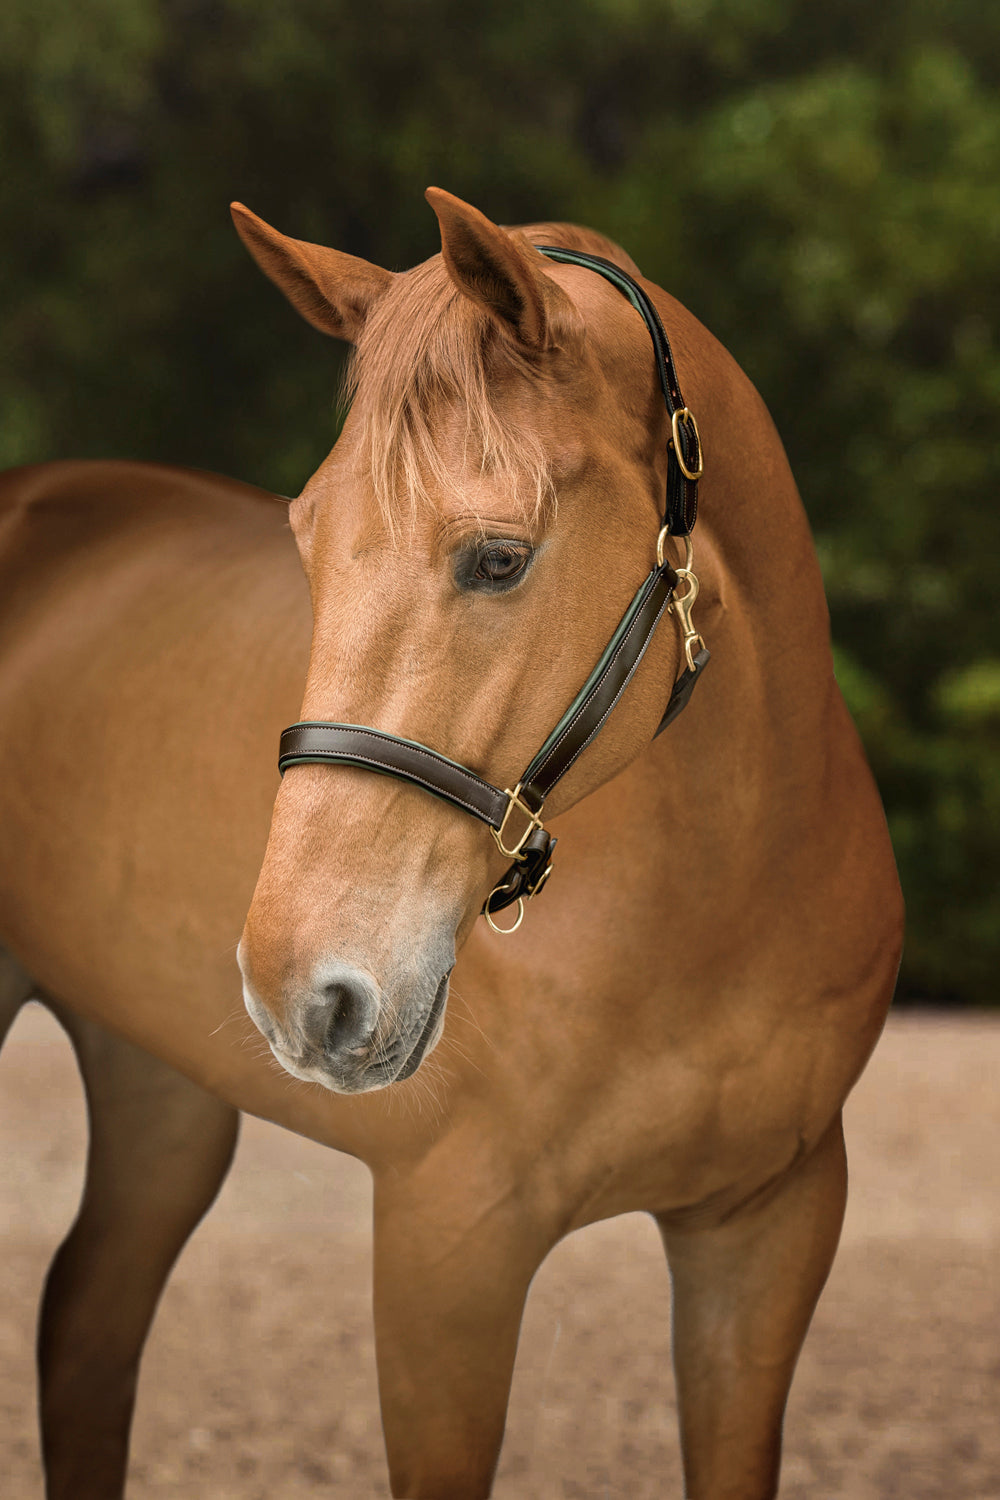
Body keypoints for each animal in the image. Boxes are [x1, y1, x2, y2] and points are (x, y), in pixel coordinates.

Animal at [0, 187, 903, 1499]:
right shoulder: (449, 1251)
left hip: (155, 1083)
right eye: (307, 541)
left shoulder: (768, 1229)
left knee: (87, 1321)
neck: (721, 899)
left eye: (497, 558)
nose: (301, 991)